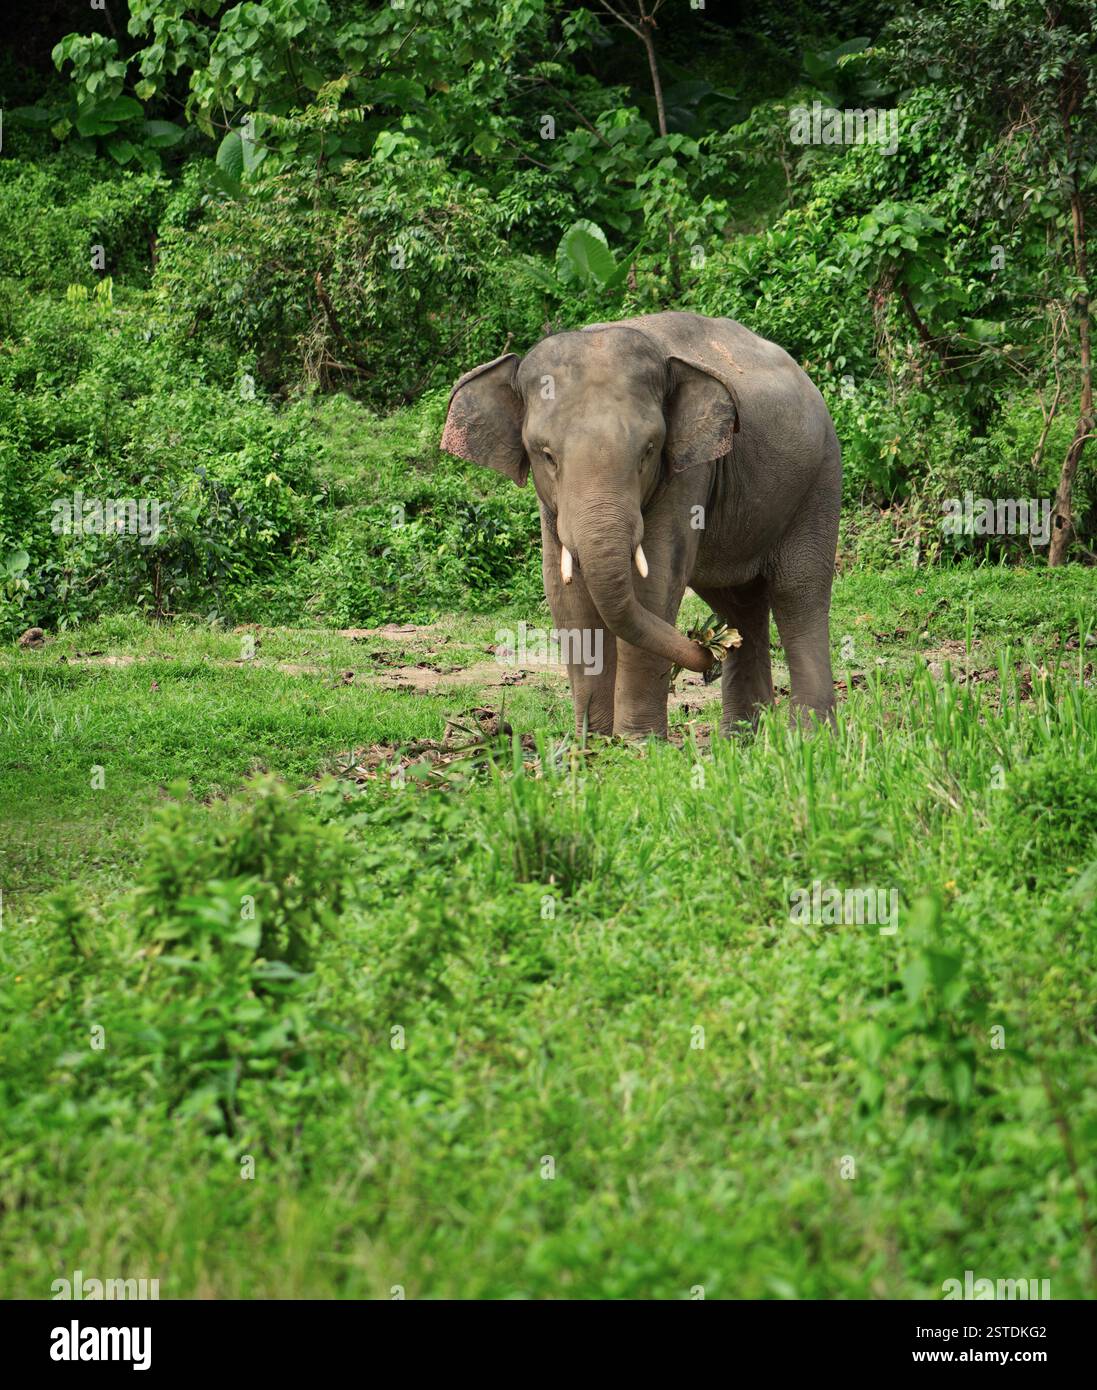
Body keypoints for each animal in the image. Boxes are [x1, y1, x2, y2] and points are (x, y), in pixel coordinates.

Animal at [440, 310, 841, 738]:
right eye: (546, 455)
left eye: (649, 450)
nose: (704, 651)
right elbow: (565, 595)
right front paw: (592, 741)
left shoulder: (689, 472)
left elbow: (656, 582)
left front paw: (638, 743)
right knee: (737, 604)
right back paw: (740, 737)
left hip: (819, 482)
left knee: (798, 592)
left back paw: (812, 738)